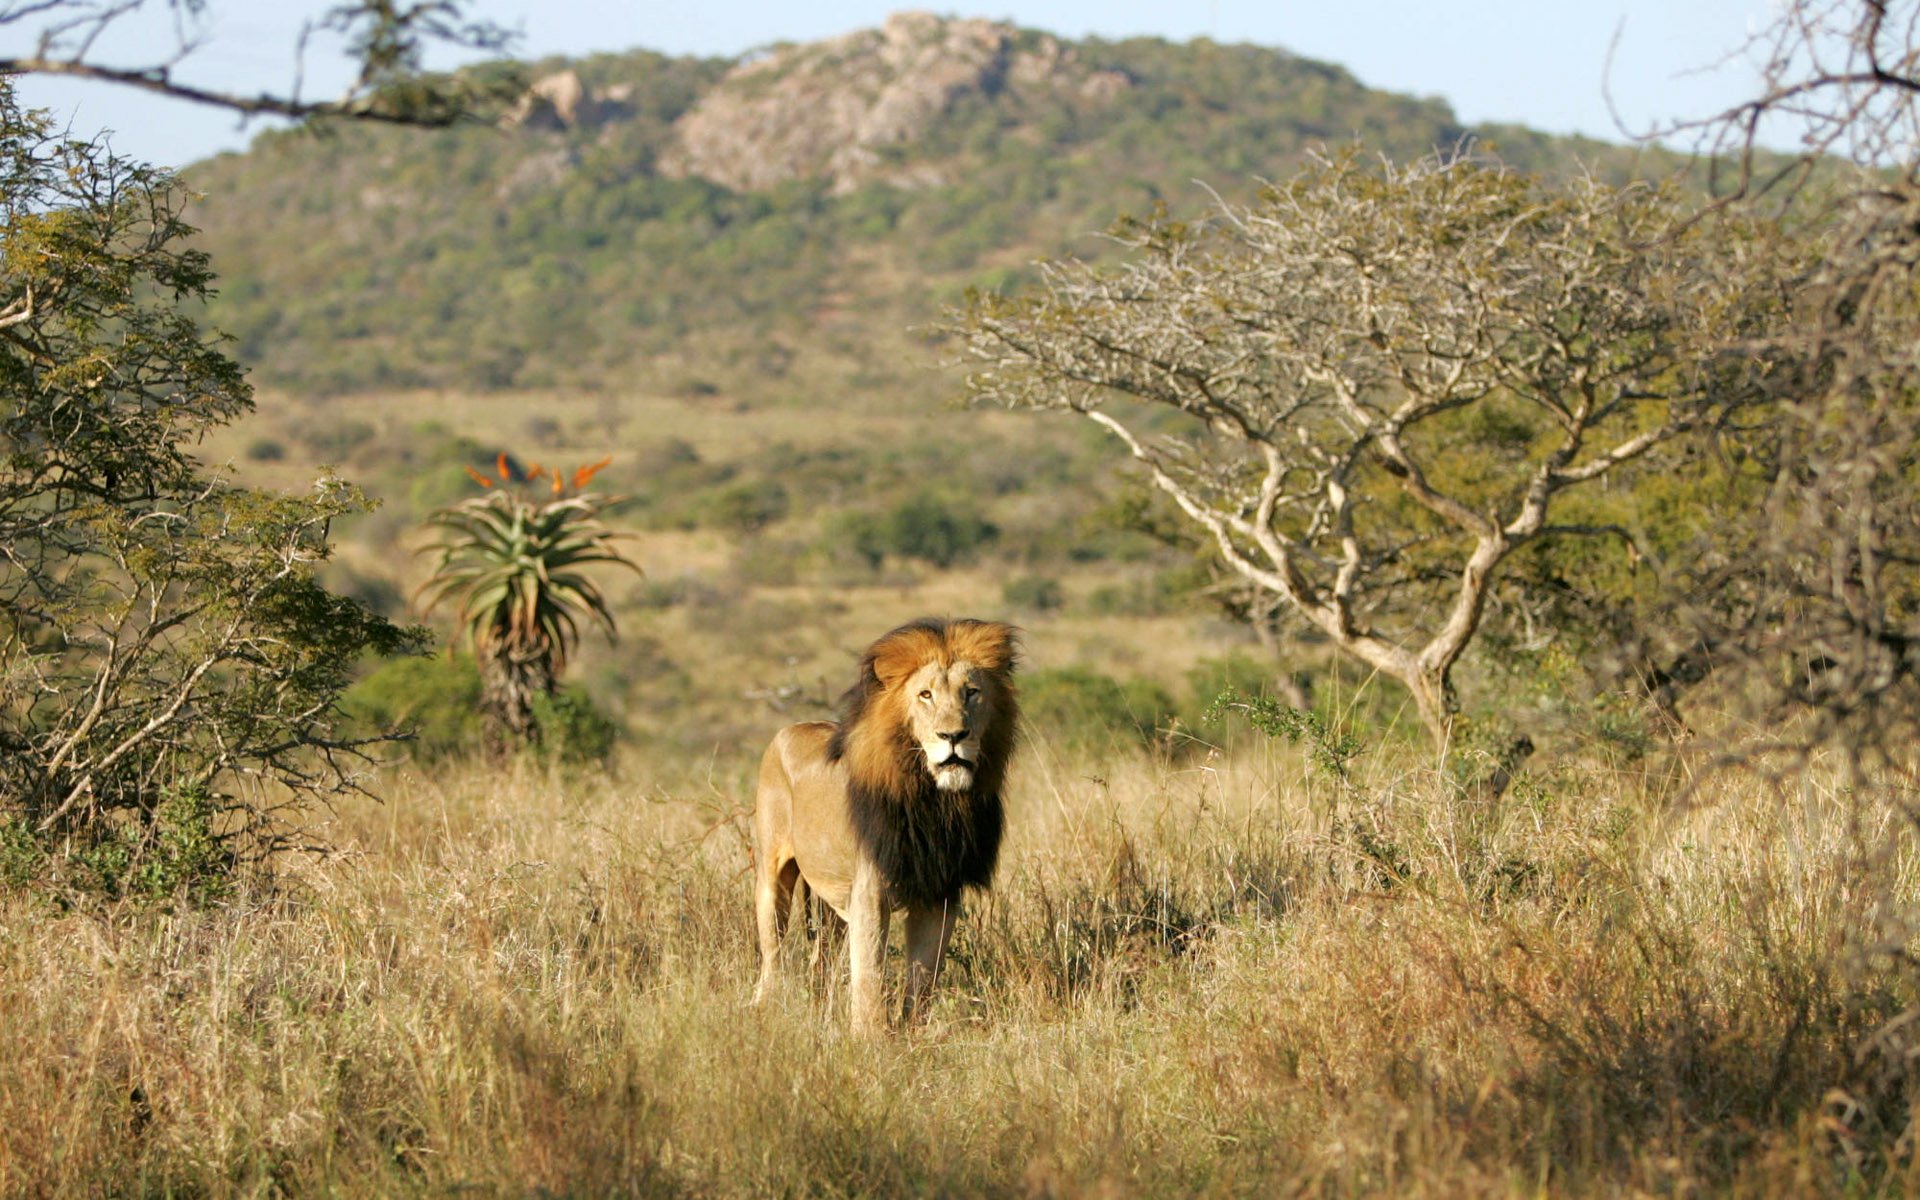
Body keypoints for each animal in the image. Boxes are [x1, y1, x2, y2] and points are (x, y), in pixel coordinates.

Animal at [751, 617, 1019, 1033]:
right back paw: (764, 1012)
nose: (953, 736)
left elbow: (923, 976)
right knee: (773, 958)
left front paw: (913, 1035)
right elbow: (869, 976)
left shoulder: (940, 894)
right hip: (771, 877)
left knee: (820, 963)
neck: (935, 803)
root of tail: (791, 728)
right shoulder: (869, 892)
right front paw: (870, 1038)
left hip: (831, 903)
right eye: (925, 695)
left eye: (971, 693)